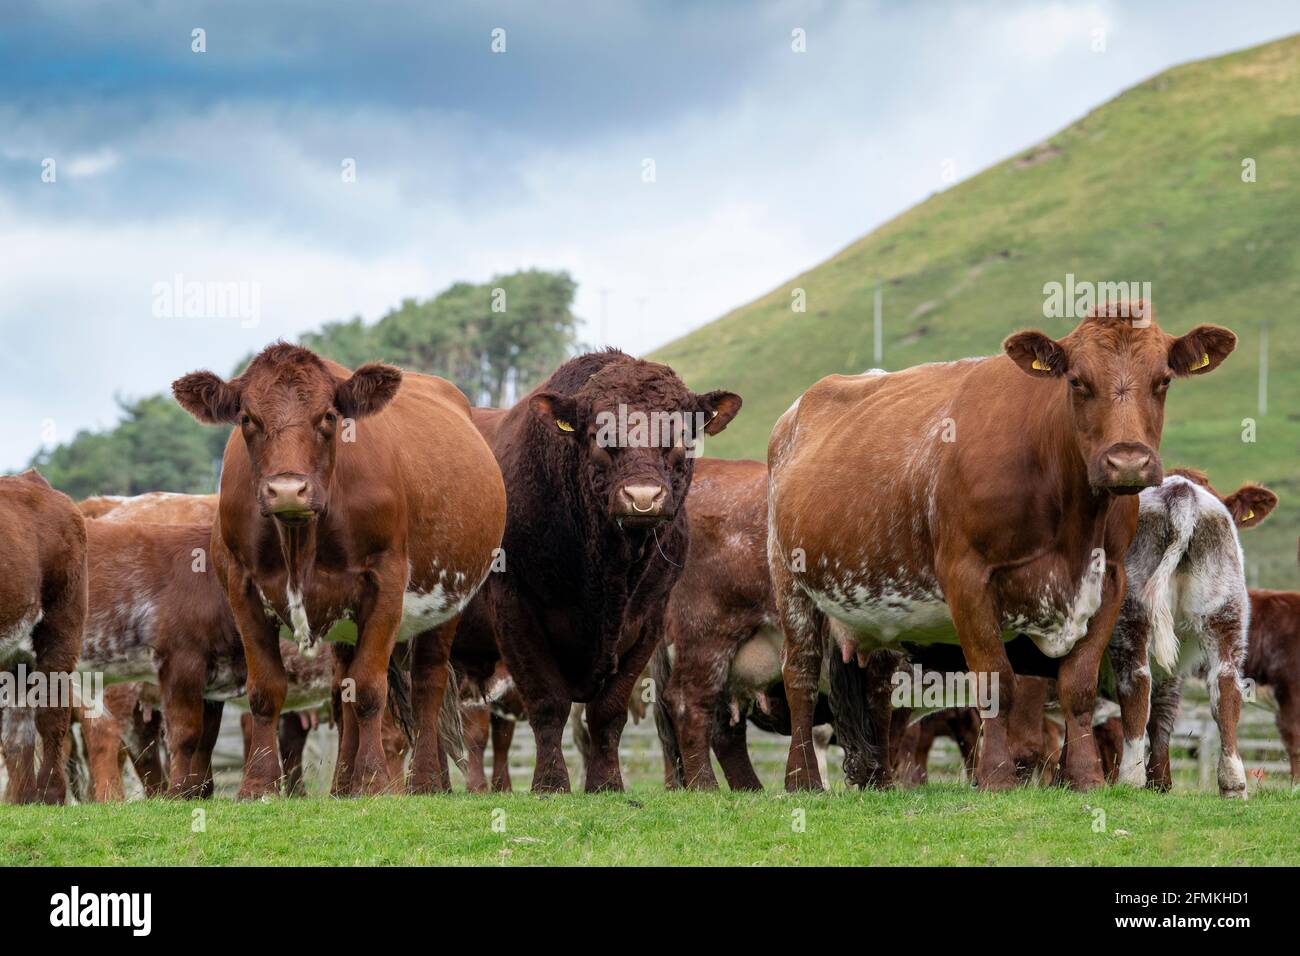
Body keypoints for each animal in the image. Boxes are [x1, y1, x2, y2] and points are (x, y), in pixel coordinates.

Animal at [173, 343, 507, 796]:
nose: (287, 490)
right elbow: (266, 690)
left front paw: (374, 781)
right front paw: (258, 785)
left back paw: (425, 782)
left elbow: (369, 688)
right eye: (247, 419)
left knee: (427, 683)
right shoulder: (241, 588)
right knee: (343, 688)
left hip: (447, 601)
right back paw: (341, 787)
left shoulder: (386, 583)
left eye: (329, 416)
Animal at [452, 349, 741, 792]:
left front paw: (606, 783)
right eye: (600, 436)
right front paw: (550, 783)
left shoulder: (648, 619)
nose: (643, 497)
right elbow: (548, 704)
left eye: (679, 436)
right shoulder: (515, 610)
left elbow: (608, 711)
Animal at [767, 302, 1237, 791]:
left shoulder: (1111, 579)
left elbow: (1079, 685)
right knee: (800, 675)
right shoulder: (968, 577)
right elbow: (997, 682)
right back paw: (802, 778)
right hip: (790, 578)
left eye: (1163, 380)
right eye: (1076, 381)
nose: (1127, 461)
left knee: (875, 688)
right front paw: (994, 775)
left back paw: (877, 779)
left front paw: (1085, 776)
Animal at [1110, 468, 1276, 796]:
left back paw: (1130, 778)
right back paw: (1233, 784)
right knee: (1225, 686)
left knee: (1137, 683)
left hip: (1131, 614)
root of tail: (1181, 493)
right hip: (1226, 613)